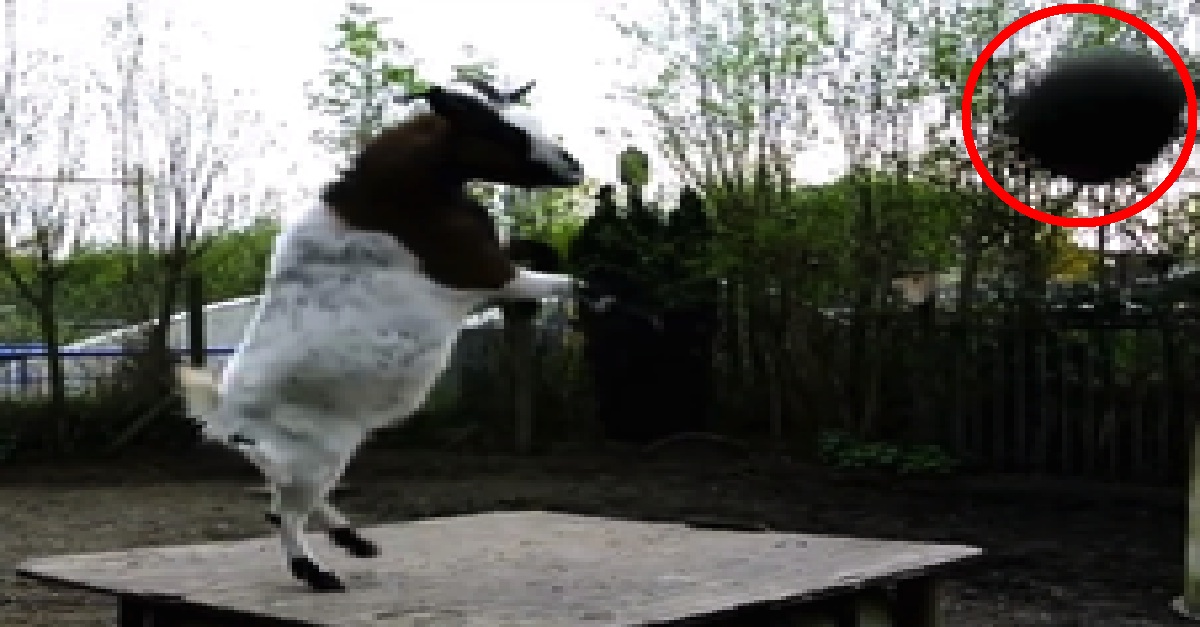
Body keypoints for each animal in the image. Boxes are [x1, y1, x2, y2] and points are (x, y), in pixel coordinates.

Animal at [175, 80, 587, 592]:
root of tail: (227, 416)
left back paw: (354, 540)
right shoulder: (491, 276)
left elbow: (543, 253)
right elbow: (574, 282)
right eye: (501, 130)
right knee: (287, 513)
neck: (394, 200)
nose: (575, 166)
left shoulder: (493, 270)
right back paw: (316, 572)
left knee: (282, 503)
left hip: (311, 458)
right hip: (317, 457)